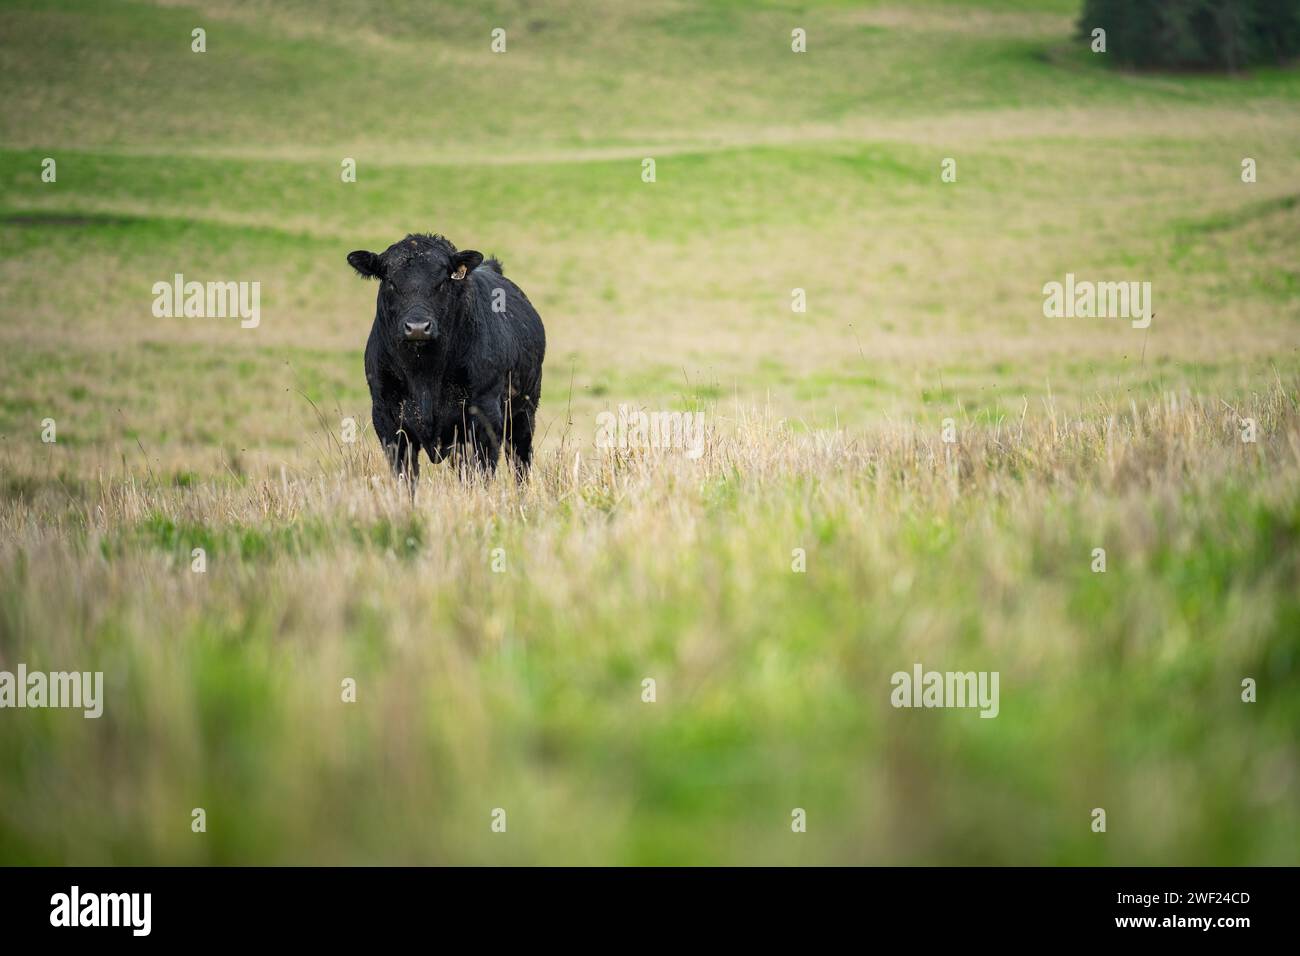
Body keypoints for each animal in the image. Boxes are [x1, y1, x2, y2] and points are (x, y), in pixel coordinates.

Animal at [347, 233, 545, 481]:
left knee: (520, 463)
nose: (418, 327)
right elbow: (405, 475)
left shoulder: (485, 415)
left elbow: (481, 471)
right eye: (390, 281)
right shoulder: (386, 418)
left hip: (523, 414)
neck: (424, 375)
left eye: (441, 282)